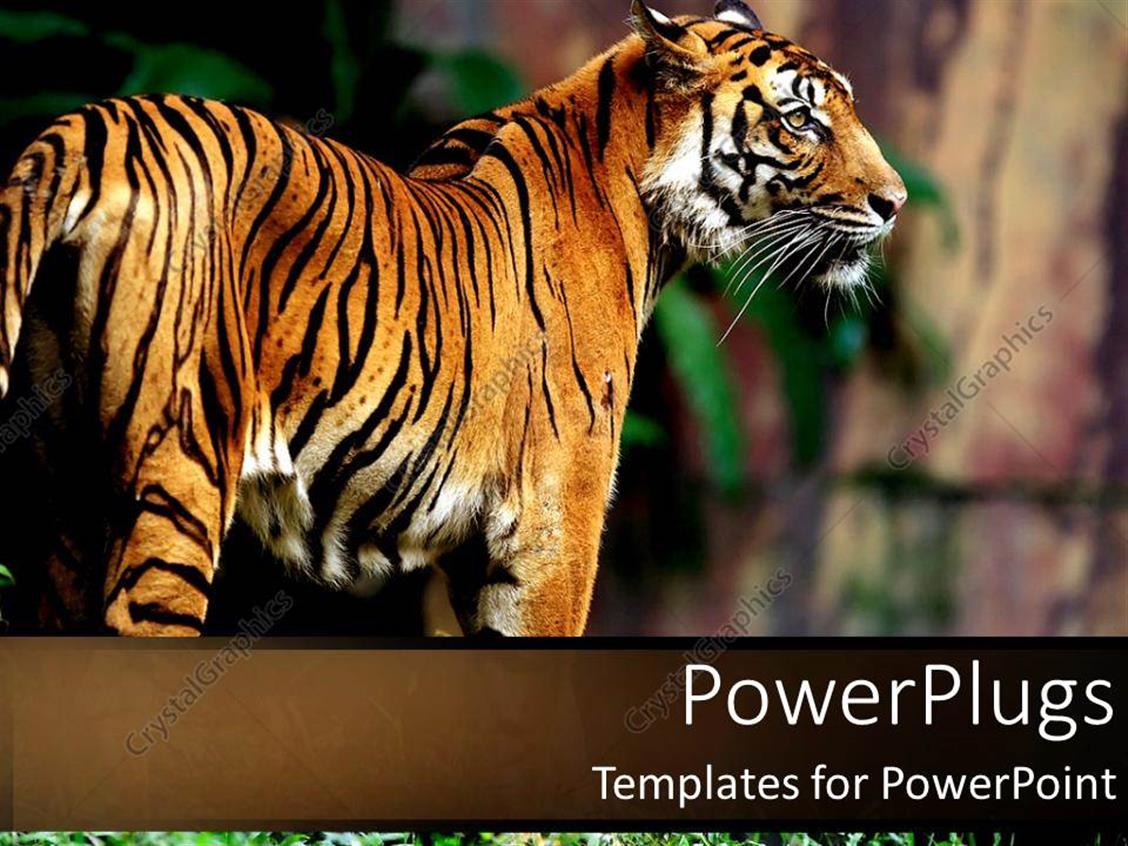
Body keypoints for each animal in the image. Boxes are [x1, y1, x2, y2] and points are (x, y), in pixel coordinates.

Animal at [0, 0, 905, 636]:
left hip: (59, 489)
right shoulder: (555, 518)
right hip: (175, 469)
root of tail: (95, 126)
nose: (894, 202)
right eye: (800, 119)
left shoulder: (460, 553)